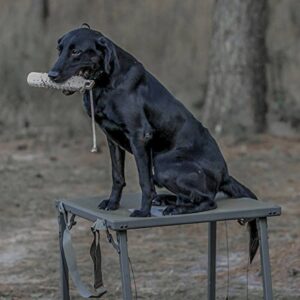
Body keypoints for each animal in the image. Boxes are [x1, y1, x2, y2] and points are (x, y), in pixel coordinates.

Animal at [48, 27, 258, 262]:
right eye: (59, 49)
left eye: (76, 52)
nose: (51, 75)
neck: (107, 82)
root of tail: (225, 174)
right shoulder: (112, 139)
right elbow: (117, 176)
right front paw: (112, 203)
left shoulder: (139, 136)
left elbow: (144, 181)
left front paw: (143, 212)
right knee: (188, 197)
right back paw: (167, 201)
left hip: (165, 165)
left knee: (207, 200)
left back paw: (176, 209)